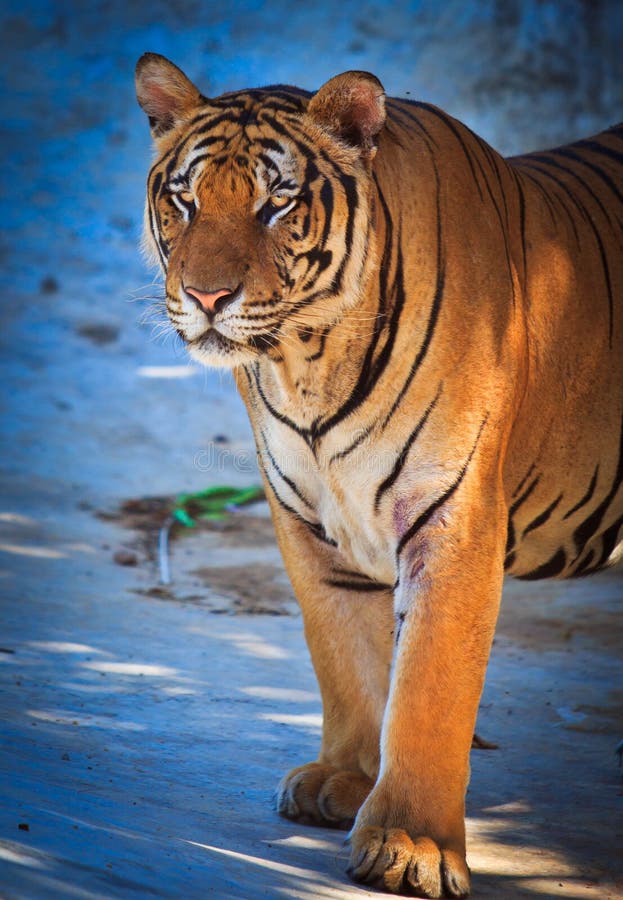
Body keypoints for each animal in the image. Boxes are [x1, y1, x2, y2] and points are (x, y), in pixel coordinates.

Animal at [135, 52, 623, 898]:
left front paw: (410, 844)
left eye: (276, 203)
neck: (307, 362)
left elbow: (428, 684)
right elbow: (345, 652)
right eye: (184, 199)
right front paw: (347, 779)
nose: (205, 296)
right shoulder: (307, 519)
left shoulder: (452, 517)